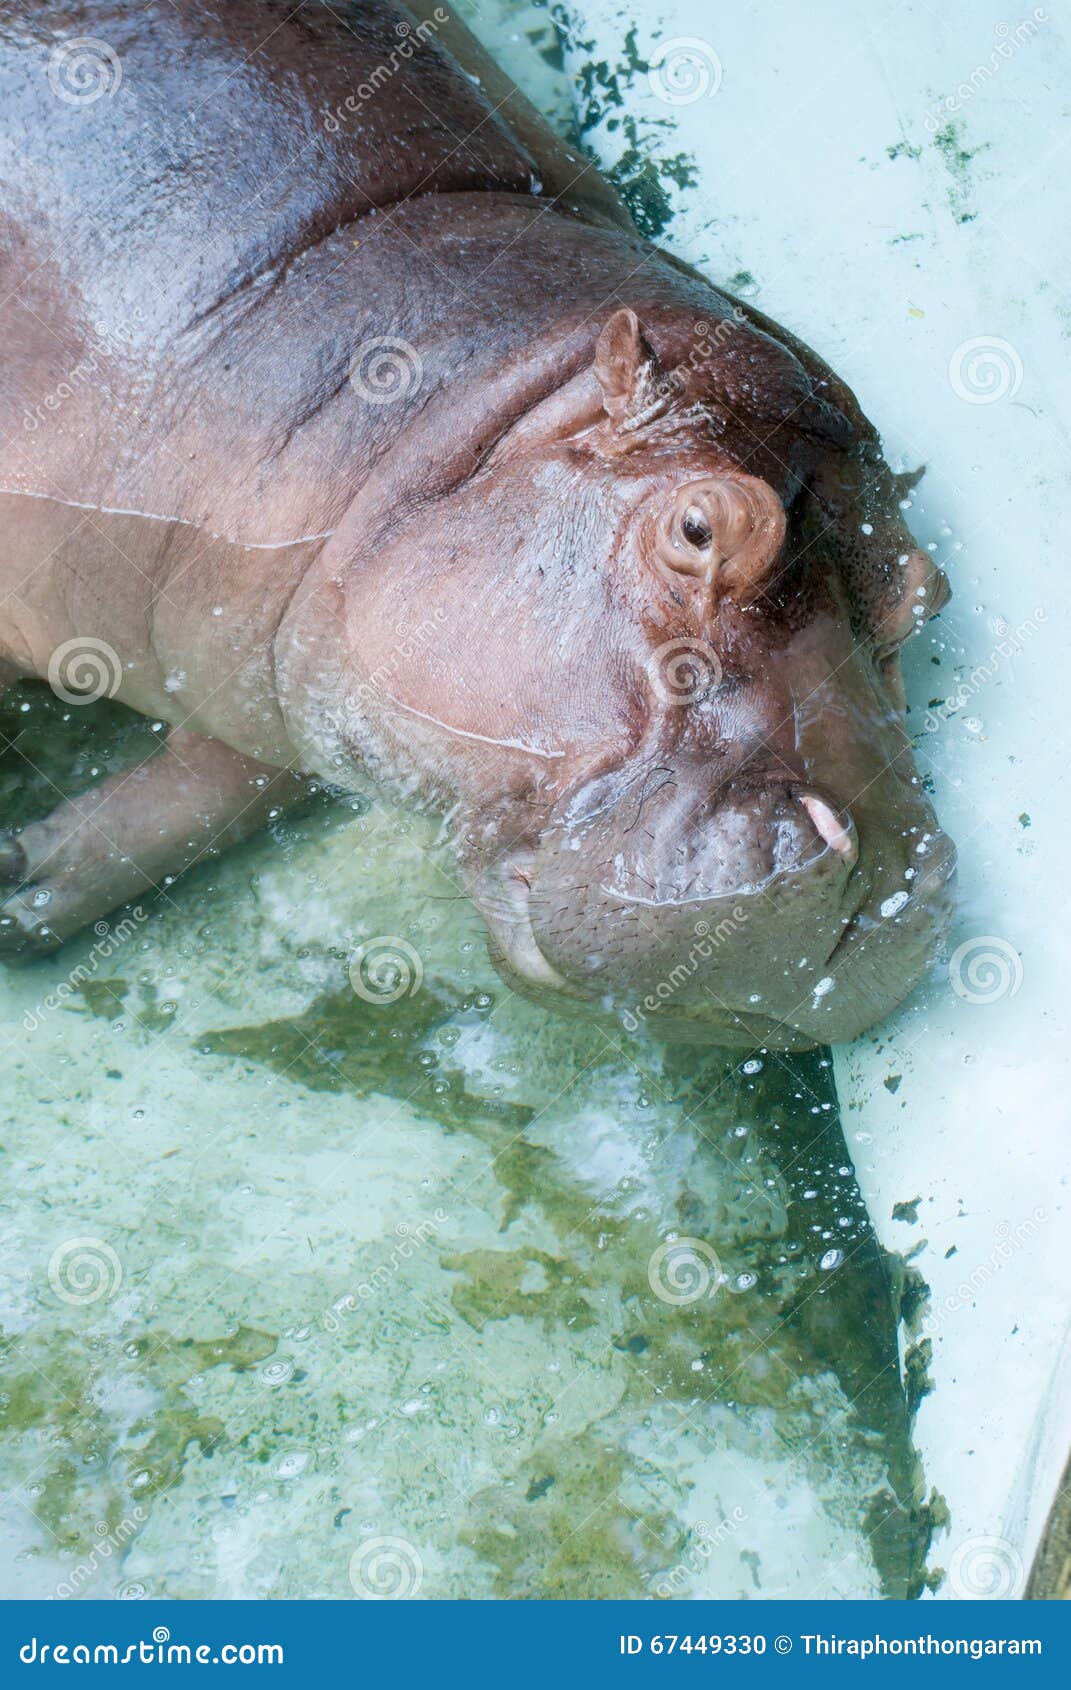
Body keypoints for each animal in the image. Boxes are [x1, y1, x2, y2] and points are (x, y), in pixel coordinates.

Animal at [0, 0, 955, 1049]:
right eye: (701, 528)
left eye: (924, 597)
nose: (880, 887)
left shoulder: (265, 658)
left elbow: (228, 779)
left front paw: (25, 886)